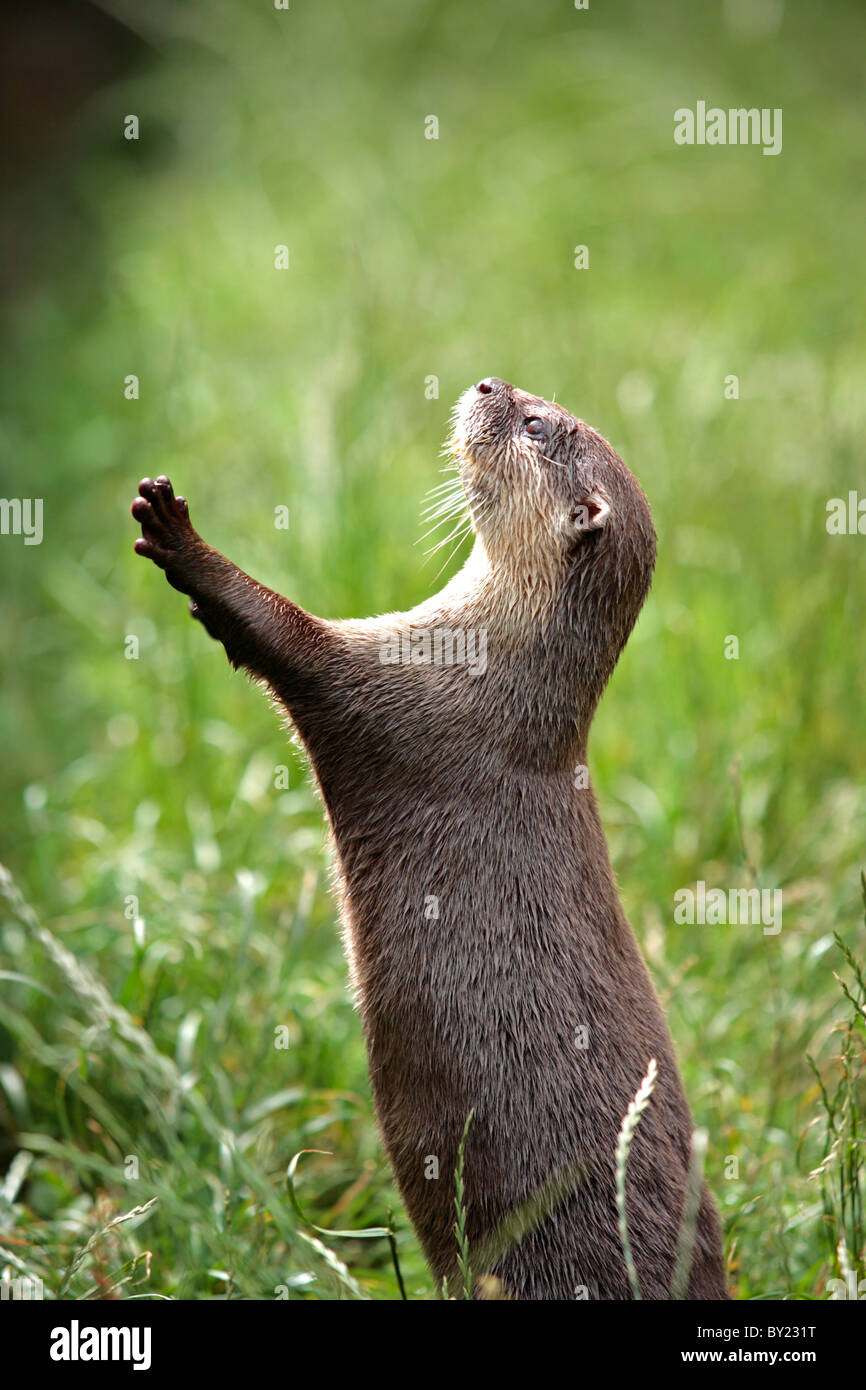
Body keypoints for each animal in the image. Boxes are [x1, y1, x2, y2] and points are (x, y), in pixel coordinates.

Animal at [131, 376, 728, 1300]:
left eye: (534, 424)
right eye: (532, 398)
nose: (487, 383)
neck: (491, 671)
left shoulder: (392, 691)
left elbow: (286, 636)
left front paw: (184, 546)